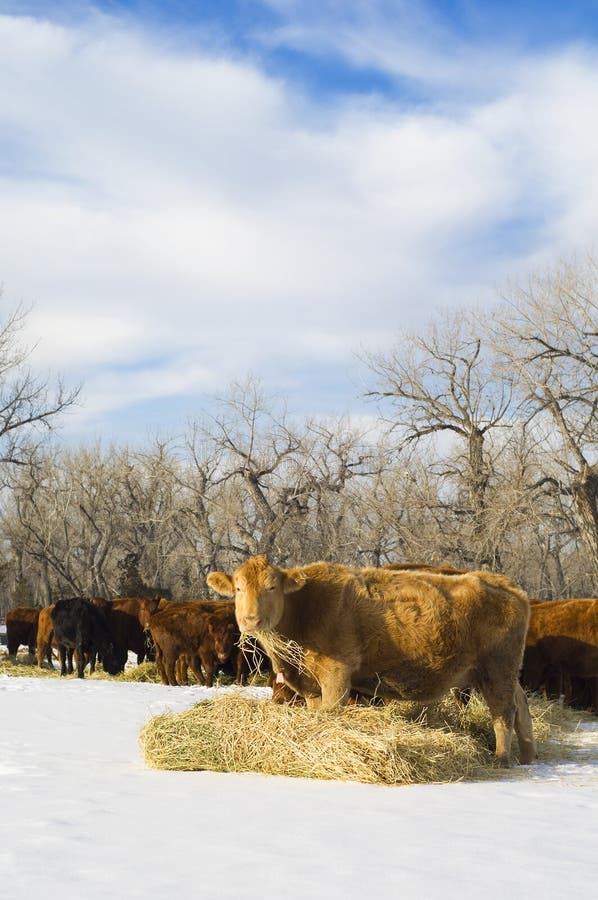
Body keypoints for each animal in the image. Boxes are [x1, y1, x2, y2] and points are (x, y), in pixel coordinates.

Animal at [207, 556, 536, 767]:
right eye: (238, 588)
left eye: (272, 587)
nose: (251, 619)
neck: (304, 608)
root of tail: (505, 584)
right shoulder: (311, 685)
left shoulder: (337, 677)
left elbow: (332, 714)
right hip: (506, 674)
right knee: (521, 707)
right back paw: (528, 757)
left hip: (497, 671)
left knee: (504, 713)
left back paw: (501, 760)